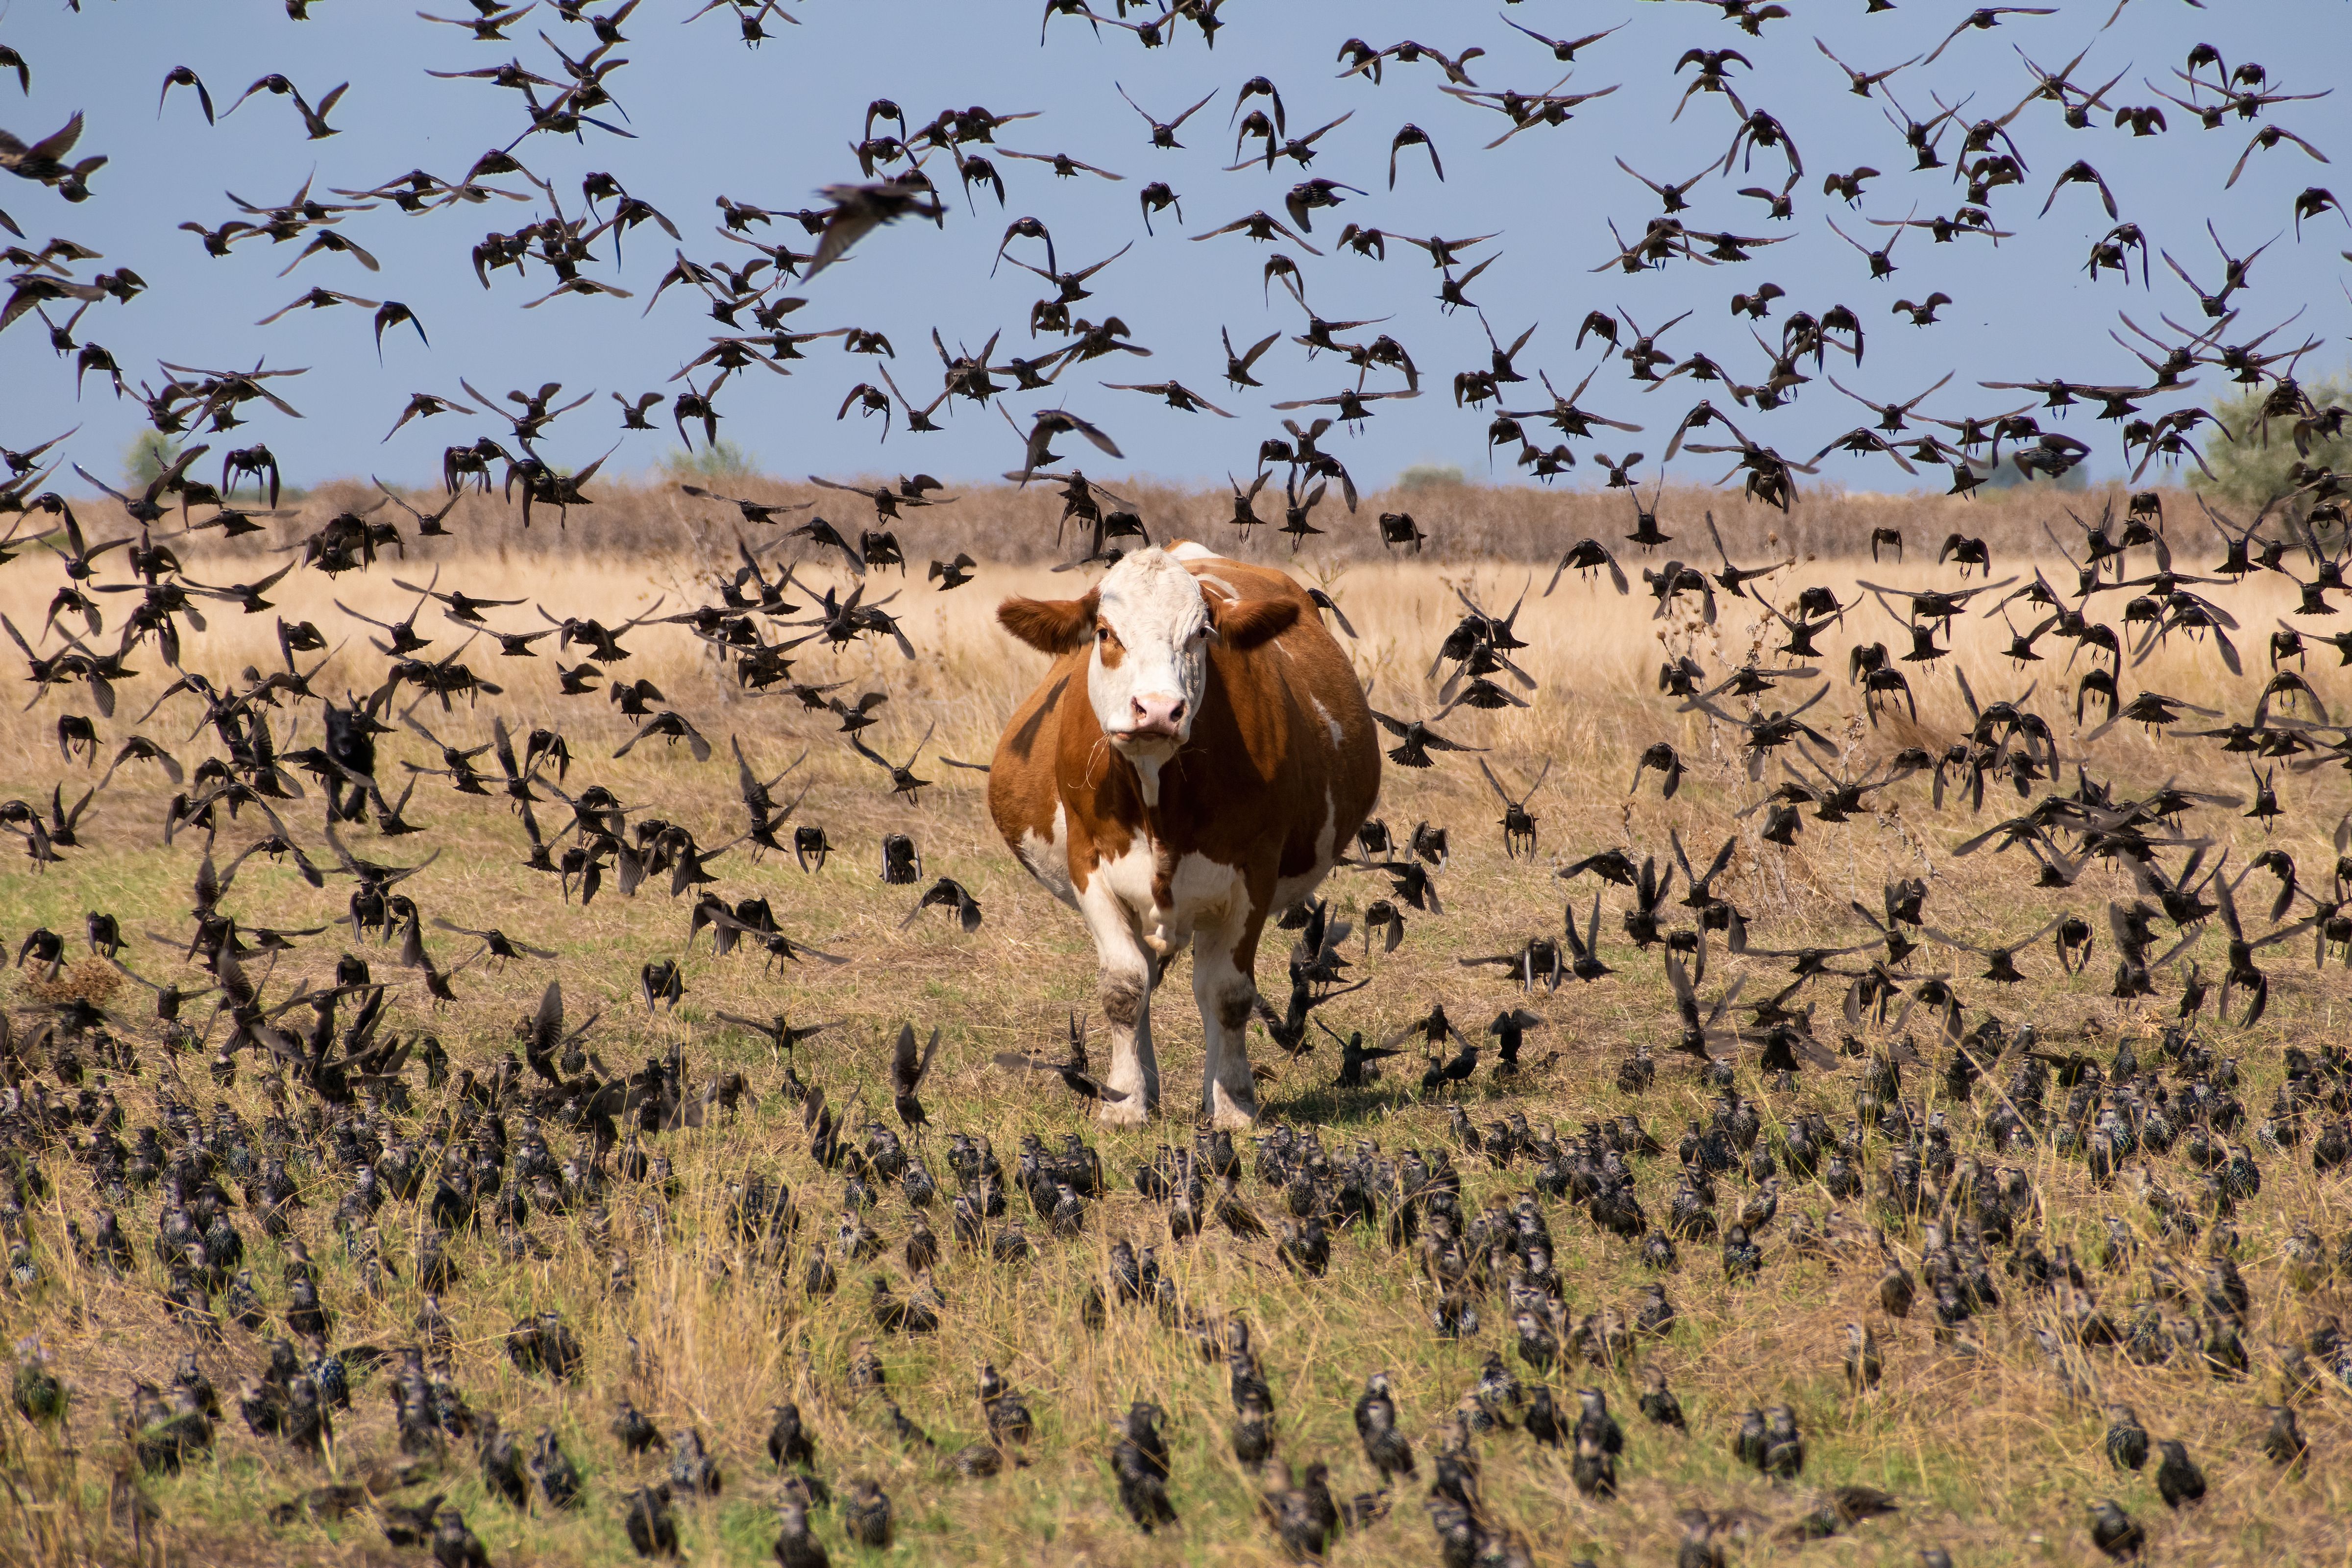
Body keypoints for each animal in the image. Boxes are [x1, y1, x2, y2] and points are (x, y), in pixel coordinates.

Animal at [989, 543, 1381, 1128]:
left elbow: (1228, 994)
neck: (1158, 802)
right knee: (1146, 979)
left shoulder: (1253, 875)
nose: (1156, 709)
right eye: (1105, 632)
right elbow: (1124, 987)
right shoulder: (1090, 868)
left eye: (1201, 633)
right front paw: (1125, 1103)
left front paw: (1234, 1103)